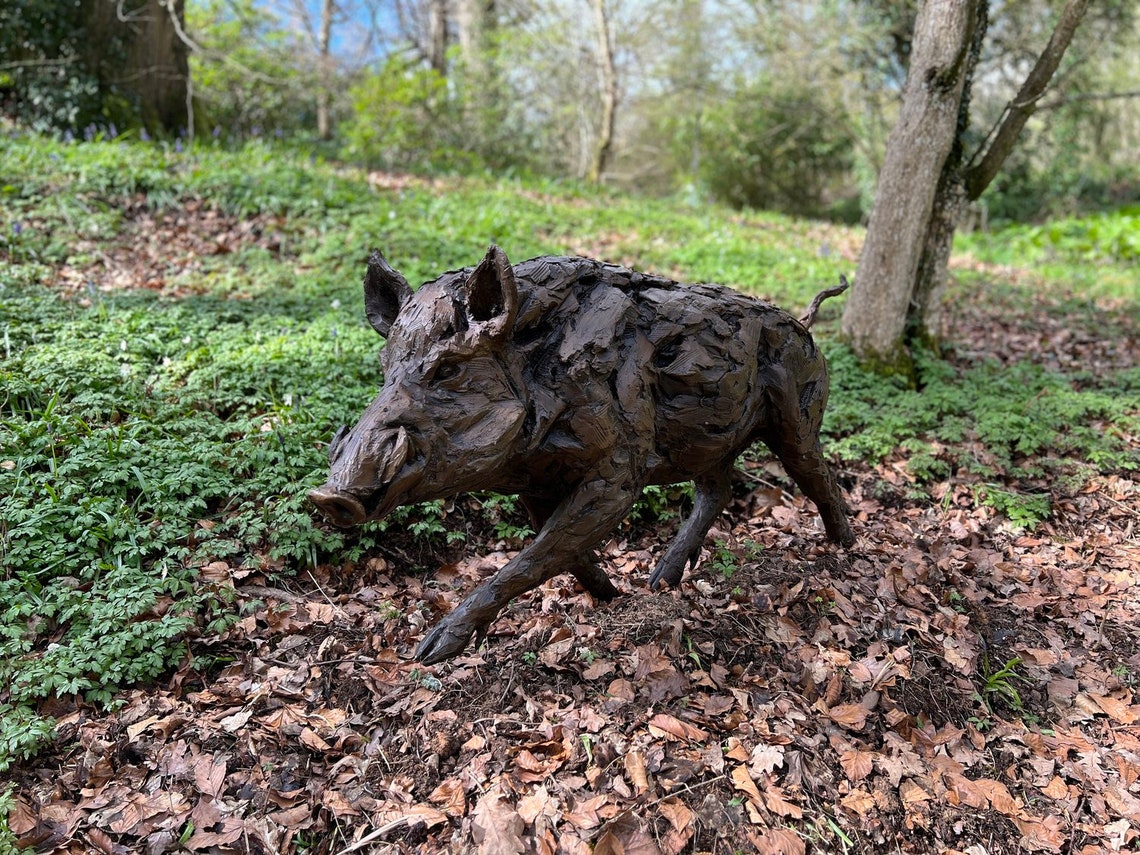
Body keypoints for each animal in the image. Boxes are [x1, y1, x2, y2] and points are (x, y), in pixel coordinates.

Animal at [309, 246, 854, 664]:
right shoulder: (535, 481)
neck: (539, 378)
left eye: (447, 369)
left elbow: (539, 554)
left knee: (816, 475)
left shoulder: (619, 470)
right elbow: (556, 549)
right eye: (384, 366)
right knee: (717, 489)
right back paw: (660, 580)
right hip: (705, 442)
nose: (329, 498)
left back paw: (843, 549)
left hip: (797, 418)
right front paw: (614, 597)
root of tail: (803, 322)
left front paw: (430, 653)